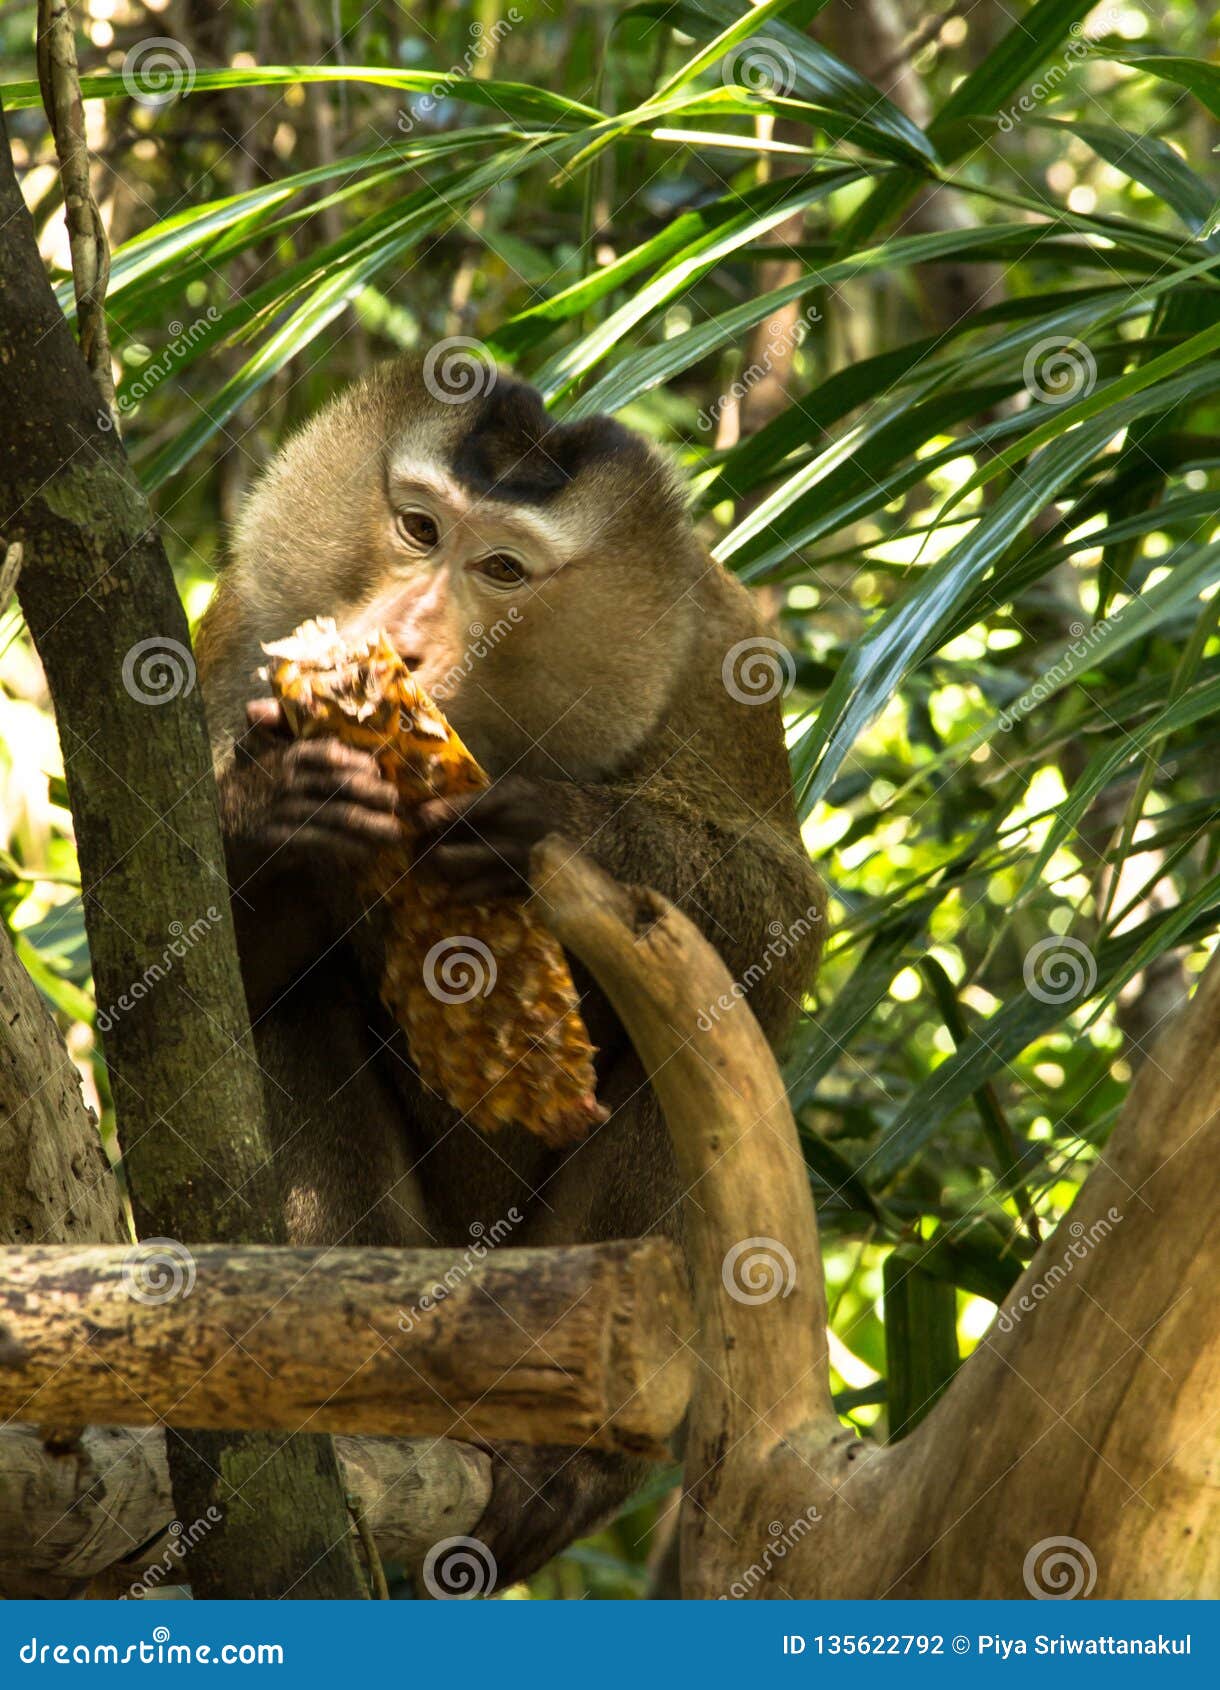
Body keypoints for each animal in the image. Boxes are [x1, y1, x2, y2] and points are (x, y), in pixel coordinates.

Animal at [195, 355, 824, 1592]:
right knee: (284, 1013)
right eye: (415, 526)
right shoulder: (241, 629)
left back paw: (567, 1455)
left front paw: (545, 821)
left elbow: (773, 924)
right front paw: (275, 804)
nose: (399, 638)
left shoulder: (711, 657)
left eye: (499, 571)